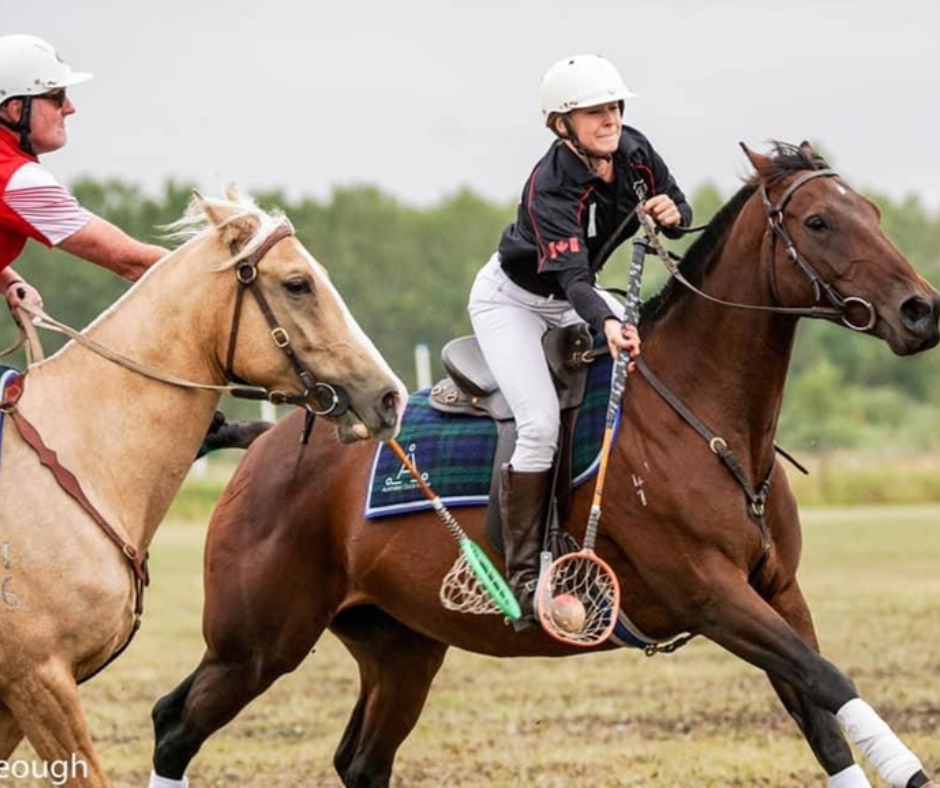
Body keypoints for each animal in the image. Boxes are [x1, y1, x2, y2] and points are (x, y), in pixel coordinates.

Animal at [150, 144, 940, 788]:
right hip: (257, 641)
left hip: (399, 647)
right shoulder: (712, 595)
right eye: (819, 222)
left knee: (361, 760)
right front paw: (908, 765)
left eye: (872, 212)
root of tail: (267, 443)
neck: (705, 417)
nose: (921, 311)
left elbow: (823, 719)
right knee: (173, 724)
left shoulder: (778, 591)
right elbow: (828, 678)